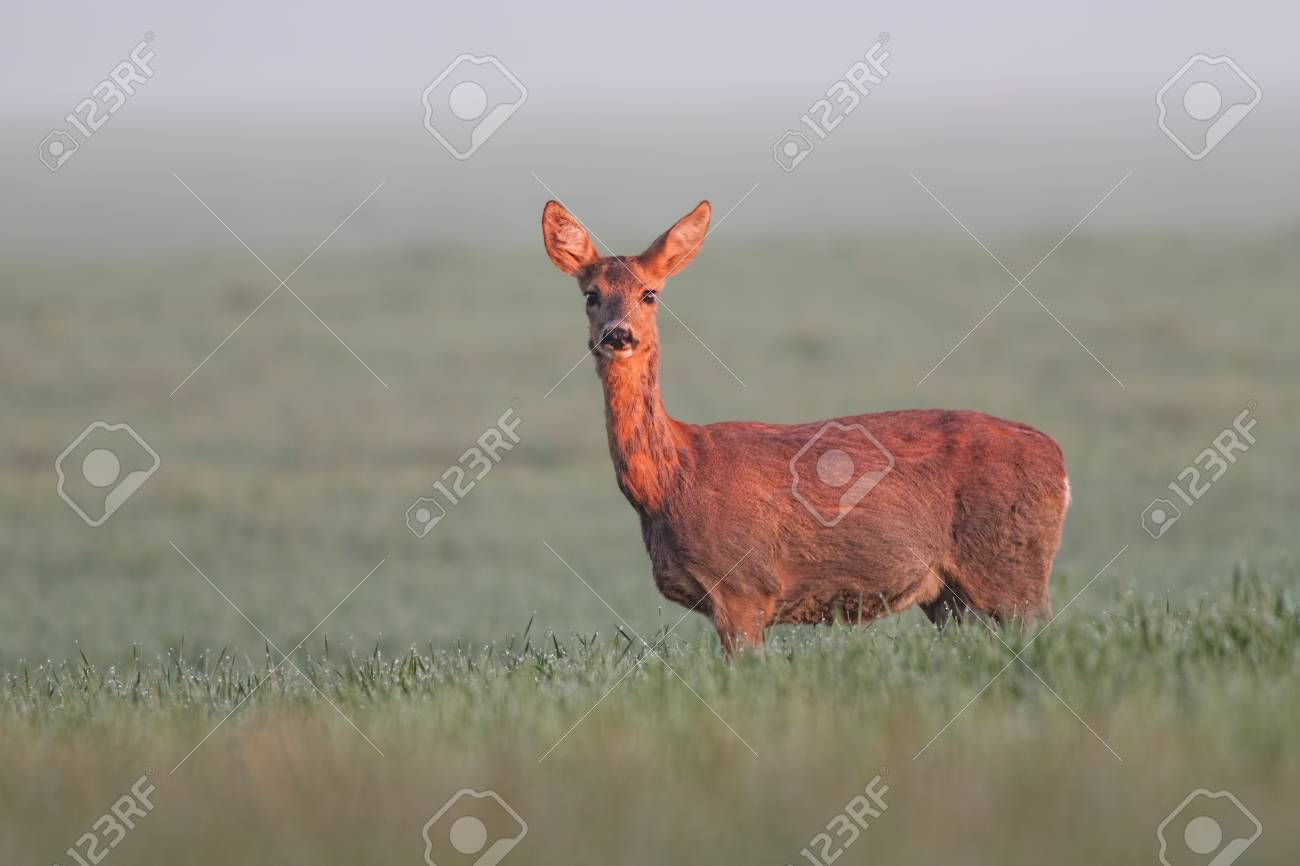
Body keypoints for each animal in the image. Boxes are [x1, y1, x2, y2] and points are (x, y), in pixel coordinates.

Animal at [538, 197, 1066, 655]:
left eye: (649, 294)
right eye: (591, 295)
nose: (618, 335)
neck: (670, 482)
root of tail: (1059, 460)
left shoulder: (743, 585)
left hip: (1013, 562)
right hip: (950, 595)